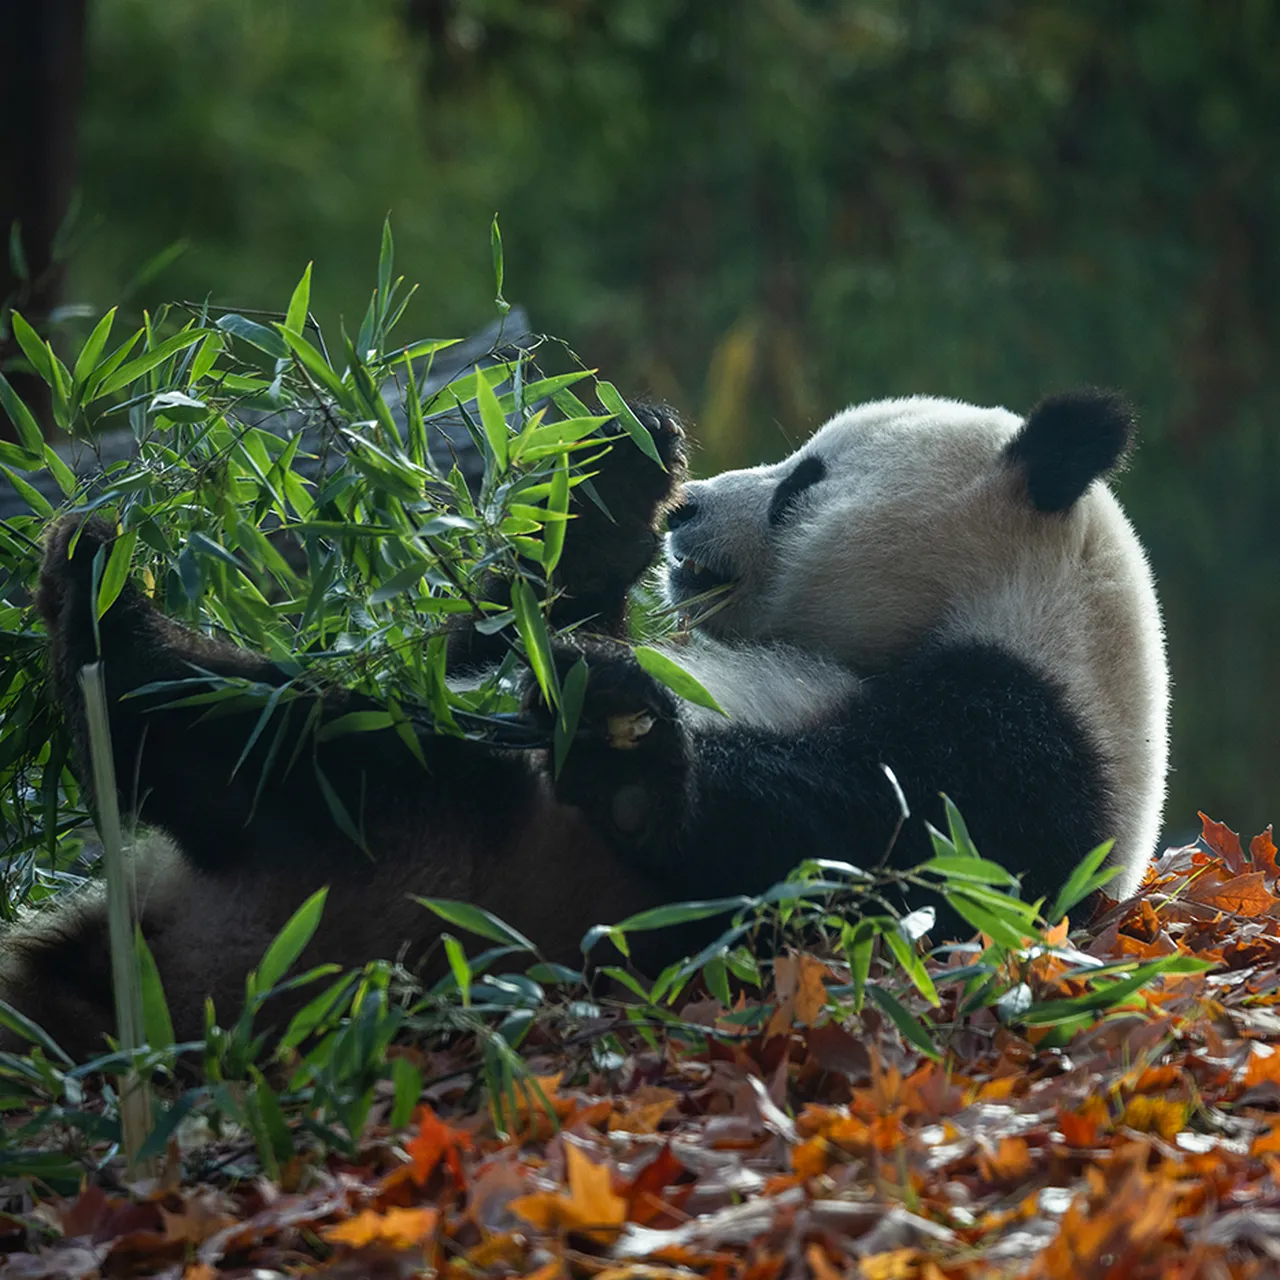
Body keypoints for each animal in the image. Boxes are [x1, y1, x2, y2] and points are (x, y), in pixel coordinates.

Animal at [0, 389, 1167, 1059]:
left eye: (802, 482)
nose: (691, 512)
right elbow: (499, 634)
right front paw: (613, 482)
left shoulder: (1032, 742)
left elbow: (868, 837)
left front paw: (632, 748)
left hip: (435, 856)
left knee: (302, 749)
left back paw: (115, 626)